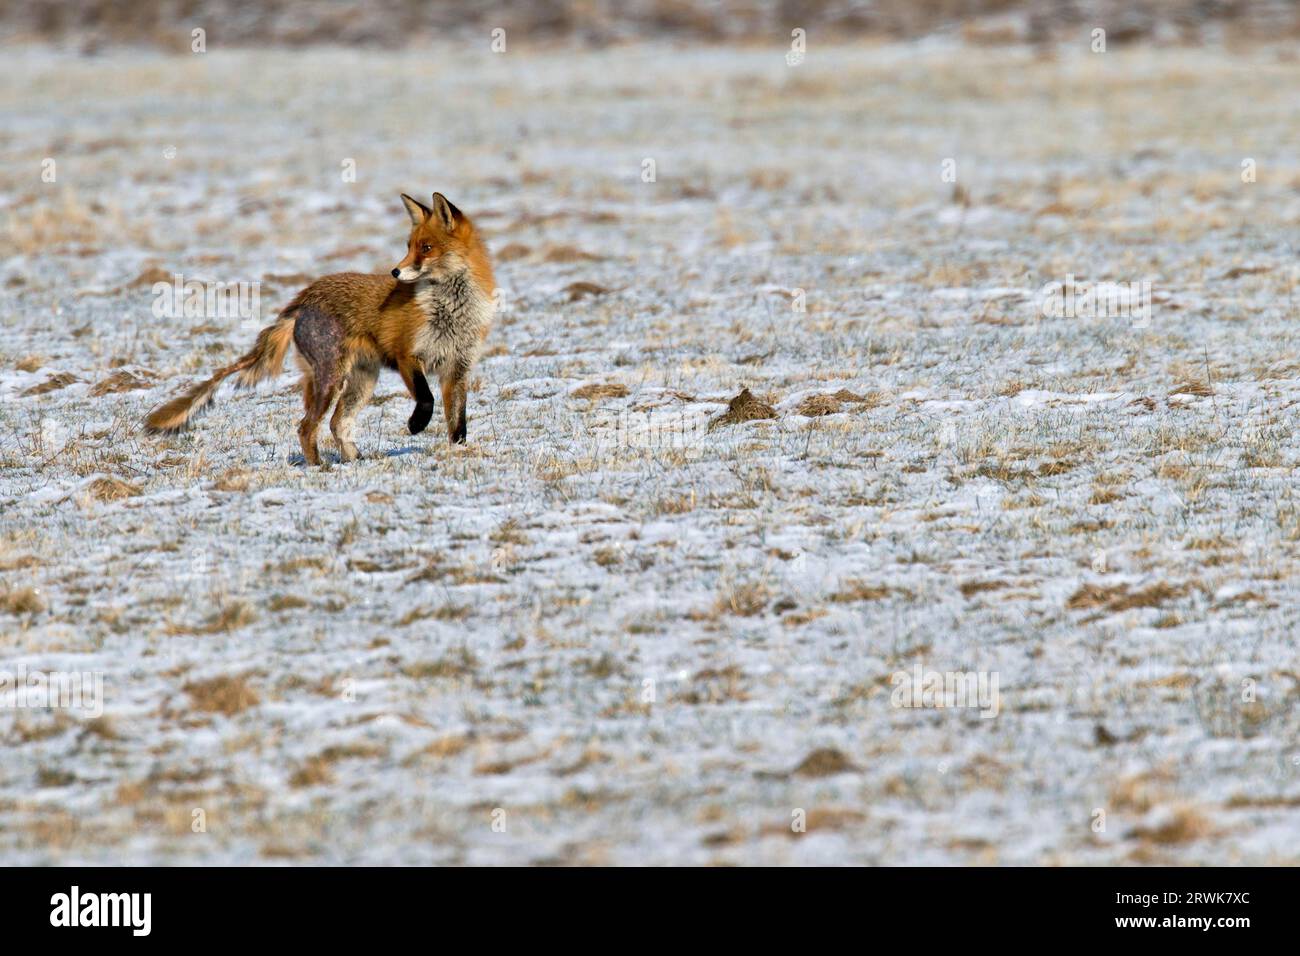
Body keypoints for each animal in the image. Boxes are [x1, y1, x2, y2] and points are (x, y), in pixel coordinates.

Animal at [144, 192, 495, 465]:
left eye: (426, 248)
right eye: (409, 246)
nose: (395, 271)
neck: (450, 312)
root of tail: (303, 298)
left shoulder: (458, 368)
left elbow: (458, 421)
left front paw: (459, 452)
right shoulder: (407, 355)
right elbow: (426, 397)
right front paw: (416, 425)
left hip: (360, 381)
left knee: (337, 423)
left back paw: (351, 460)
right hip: (332, 378)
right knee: (306, 426)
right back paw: (318, 467)